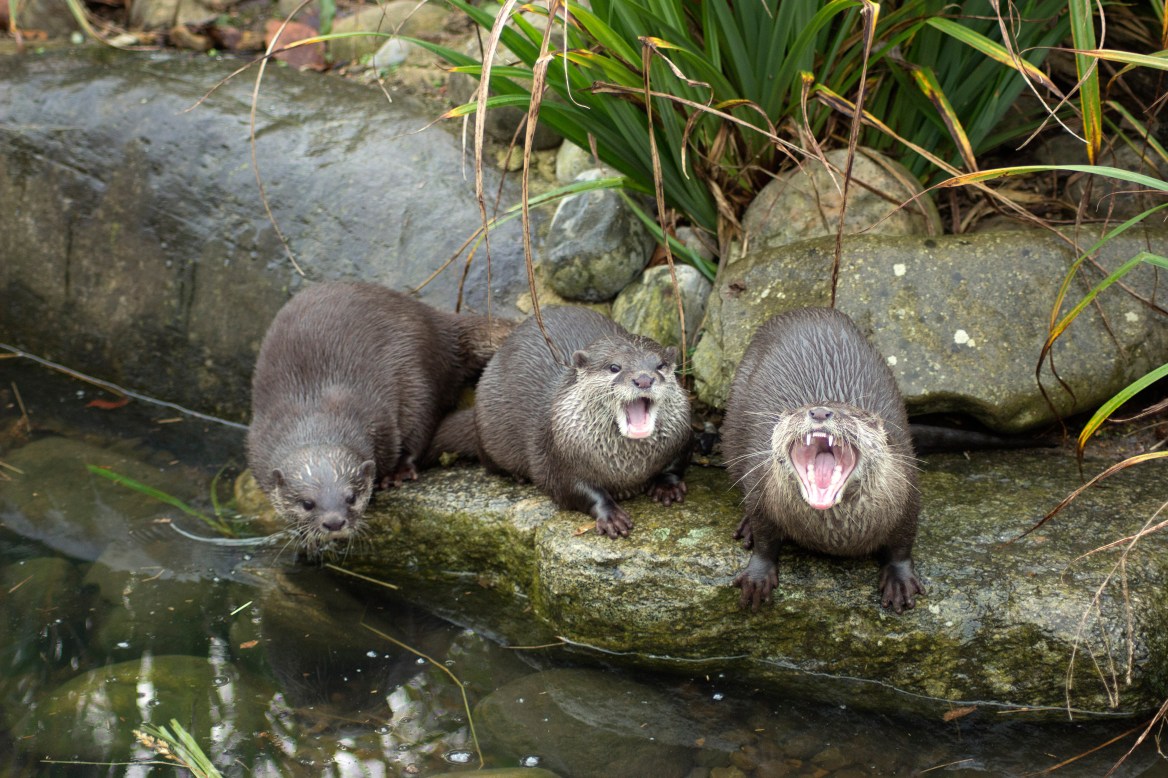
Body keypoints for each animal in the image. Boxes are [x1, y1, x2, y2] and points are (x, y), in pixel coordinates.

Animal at [247, 281, 512, 551]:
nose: (334, 522)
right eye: (307, 503)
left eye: (351, 497)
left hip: (419, 377)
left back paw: (399, 473)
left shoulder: (381, 420)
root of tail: (435, 323)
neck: (314, 413)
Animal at [436, 306, 692, 538]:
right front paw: (610, 515)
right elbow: (574, 490)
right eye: (614, 367)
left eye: (660, 366)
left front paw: (667, 485)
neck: (628, 467)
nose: (644, 379)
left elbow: (676, 463)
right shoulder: (557, 458)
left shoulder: (683, 435)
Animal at [721, 307, 922, 613]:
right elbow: (765, 535)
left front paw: (899, 580)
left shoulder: (908, 493)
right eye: (797, 411)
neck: (835, 536)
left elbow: (903, 541)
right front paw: (757, 576)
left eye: (853, 415)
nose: (819, 412)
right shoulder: (762, 489)